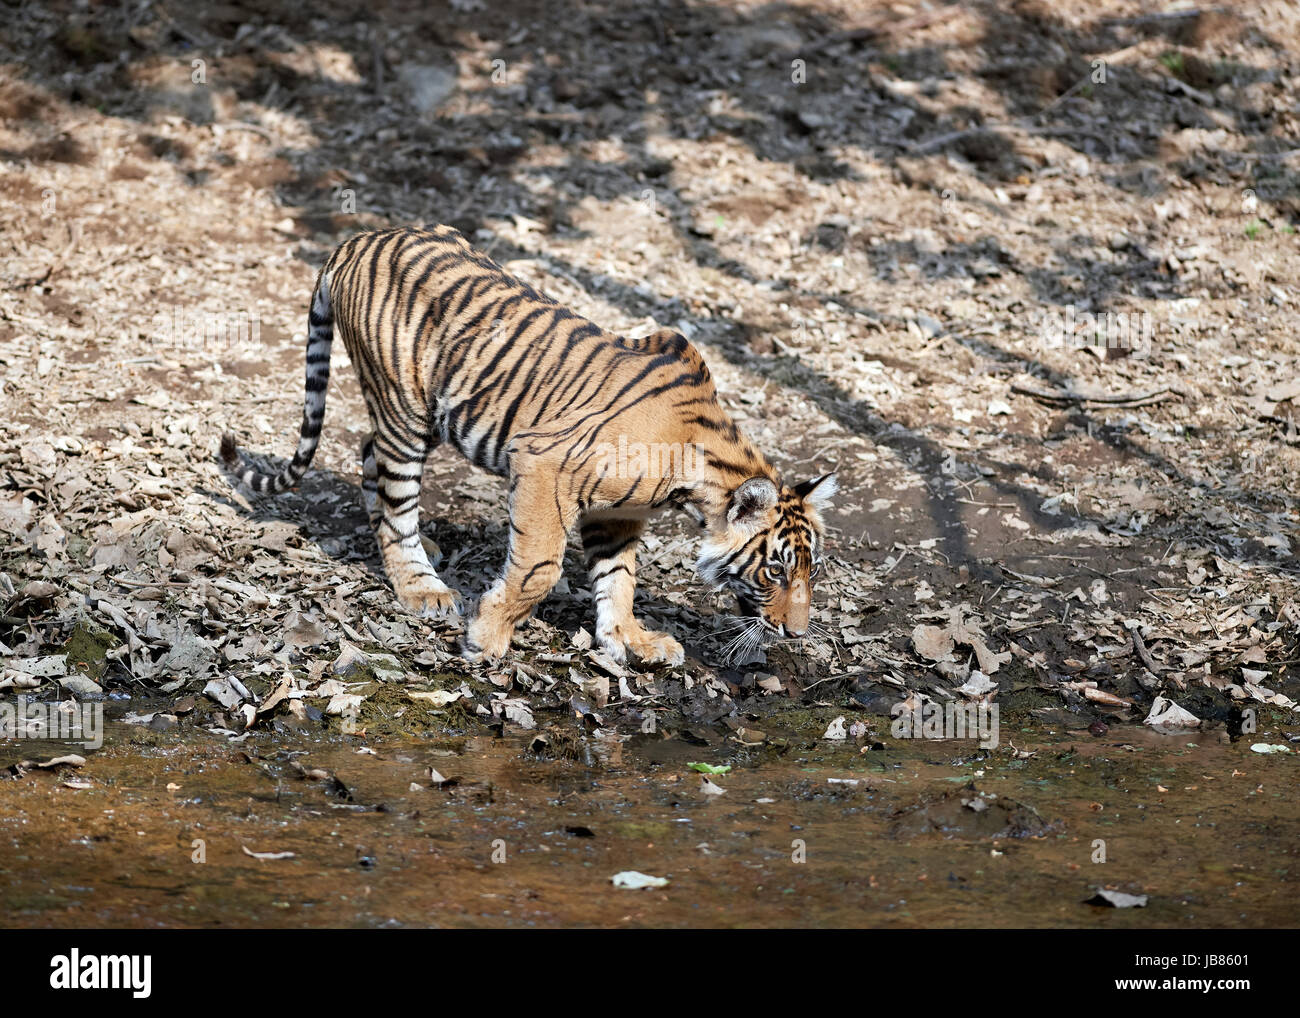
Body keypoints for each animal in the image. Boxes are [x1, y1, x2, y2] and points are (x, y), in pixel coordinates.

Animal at [220, 226, 837, 665]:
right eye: (775, 570)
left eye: (811, 571)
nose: (796, 634)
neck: (695, 474)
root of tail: (358, 239)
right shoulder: (545, 466)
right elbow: (539, 566)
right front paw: (487, 636)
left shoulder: (618, 513)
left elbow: (620, 580)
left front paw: (629, 640)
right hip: (404, 405)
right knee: (395, 496)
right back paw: (420, 587)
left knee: (369, 460)